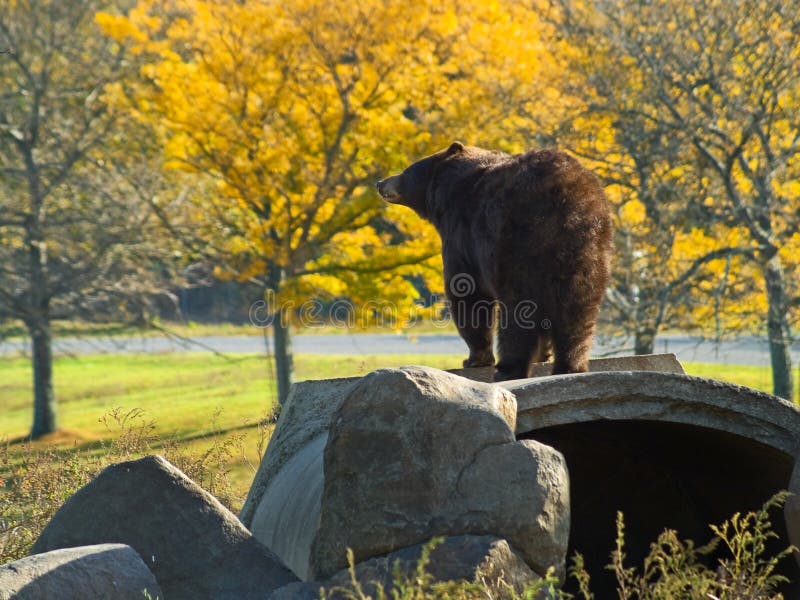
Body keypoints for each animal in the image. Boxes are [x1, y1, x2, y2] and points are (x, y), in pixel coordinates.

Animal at [377, 142, 613, 381]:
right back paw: (570, 365)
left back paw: (508, 368)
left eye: (406, 171)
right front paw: (544, 354)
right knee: (578, 310)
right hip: (589, 252)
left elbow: (467, 293)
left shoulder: (462, 237)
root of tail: (564, 204)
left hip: (515, 247)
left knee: (517, 311)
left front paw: (474, 358)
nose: (380, 182)